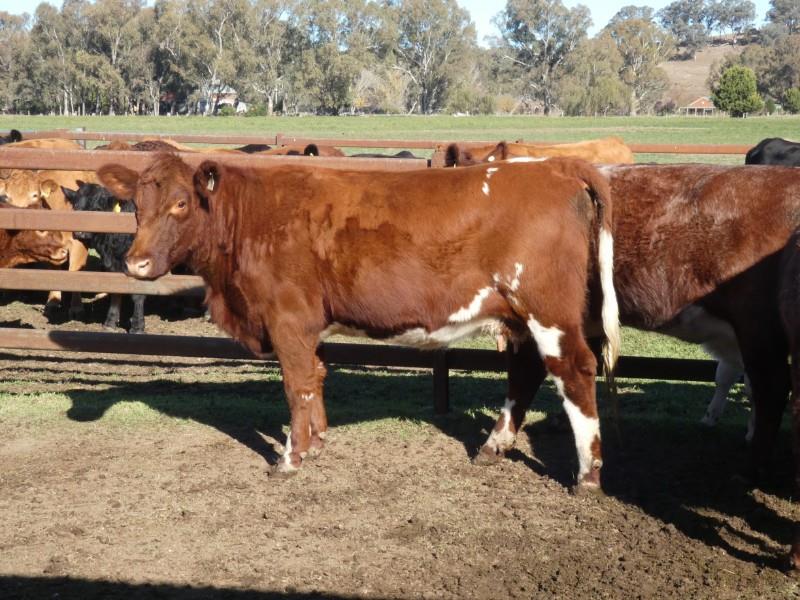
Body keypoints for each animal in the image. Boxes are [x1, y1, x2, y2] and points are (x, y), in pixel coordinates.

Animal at [62, 182, 145, 334]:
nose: (80, 232)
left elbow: (138, 294)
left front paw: (137, 326)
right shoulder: (113, 265)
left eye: (97, 209)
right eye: (76, 207)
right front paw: (110, 322)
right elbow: (116, 291)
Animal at [97, 153, 621, 489]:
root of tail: (552, 165)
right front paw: (316, 442)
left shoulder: (288, 319)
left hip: (548, 311)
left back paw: (588, 476)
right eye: (137, 206)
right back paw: (493, 448)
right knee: (526, 372)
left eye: (181, 203)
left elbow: (297, 385)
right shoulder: (309, 327)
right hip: (520, 317)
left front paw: (290, 458)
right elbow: (316, 377)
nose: (136, 263)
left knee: (574, 371)